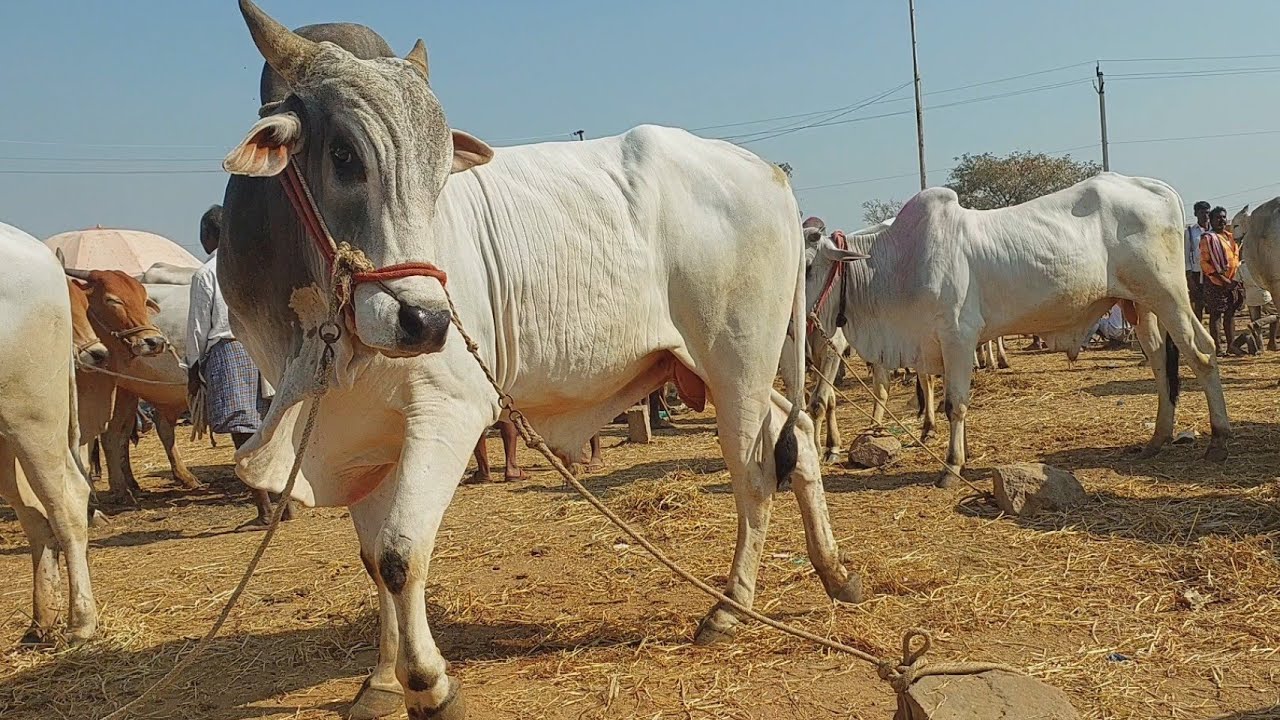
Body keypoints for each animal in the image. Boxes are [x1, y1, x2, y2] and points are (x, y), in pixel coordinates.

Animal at [217, 4, 861, 717]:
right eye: (342, 155)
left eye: (440, 174)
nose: (427, 320)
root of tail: (771, 175)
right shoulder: (363, 435)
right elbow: (372, 558)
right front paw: (382, 681)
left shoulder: (448, 410)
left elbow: (400, 553)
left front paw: (430, 684)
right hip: (724, 369)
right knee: (796, 438)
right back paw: (835, 573)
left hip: (738, 364)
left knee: (754, 474)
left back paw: (730, 610)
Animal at [807, 173, 1231, 486]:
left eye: (810, 266)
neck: (898, 263)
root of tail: (1159, 187)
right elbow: (950, 401)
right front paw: (961, 455)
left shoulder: (957, 336)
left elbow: (954, 404)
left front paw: (951, 467)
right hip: (1141, 304)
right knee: (1161, 362)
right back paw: (1157, 439)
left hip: (1168, 293)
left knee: (1202, 350)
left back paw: (1219, 439)